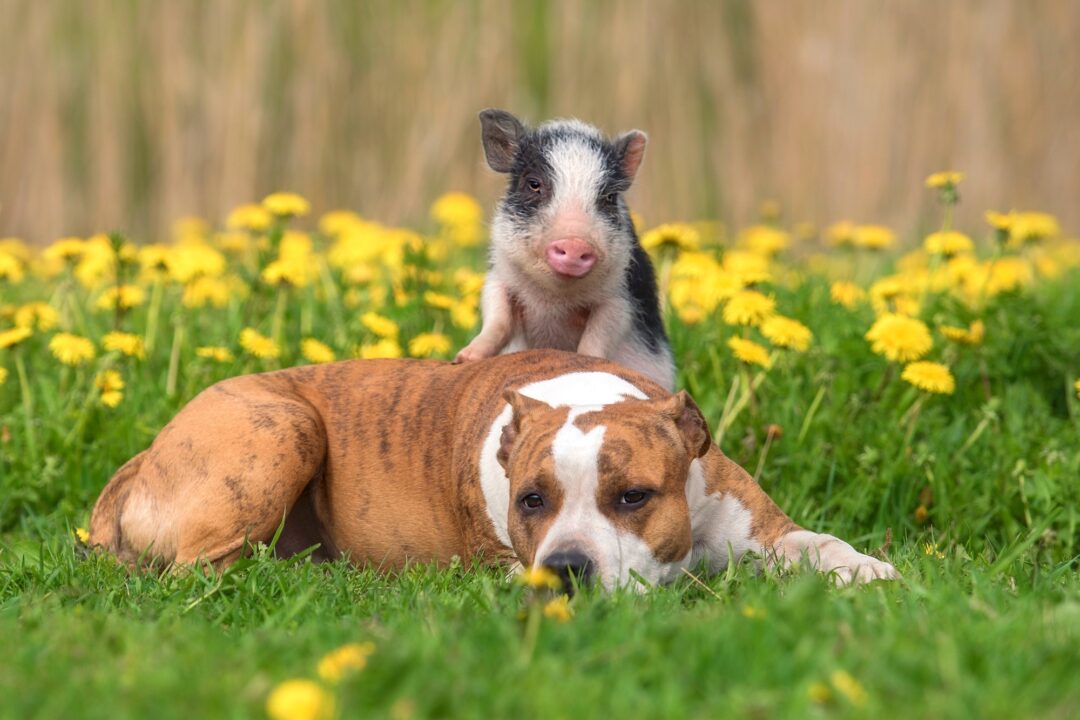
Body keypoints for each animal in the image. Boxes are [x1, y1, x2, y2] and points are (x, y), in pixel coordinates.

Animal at [454, 108, 675, 391]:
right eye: (533, 184)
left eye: (609, 197)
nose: (575, 243)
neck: (553, 300)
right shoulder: (498, 276)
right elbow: (497, 318)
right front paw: (463, 358)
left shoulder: (620, 297)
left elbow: (597, 337)